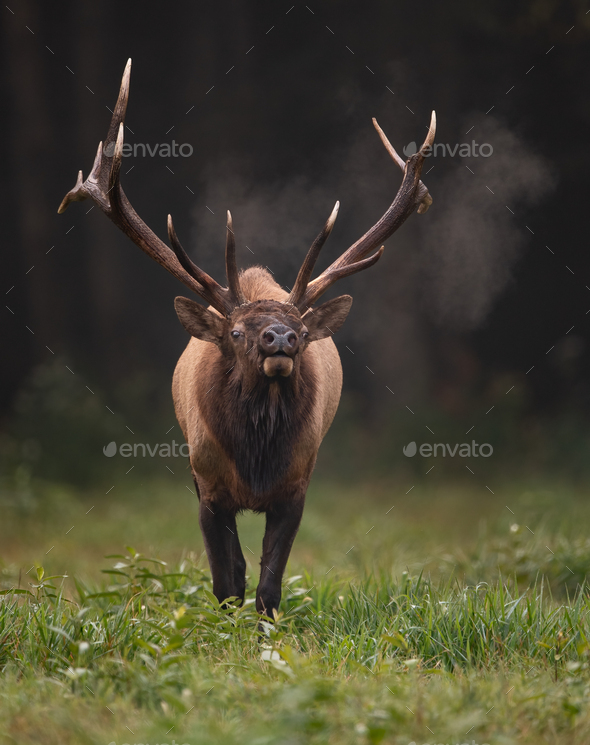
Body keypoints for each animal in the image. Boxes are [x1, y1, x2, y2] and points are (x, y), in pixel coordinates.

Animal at [59, 60, 435, 618]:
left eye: (302, 332)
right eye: (236, 331)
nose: (280, 338)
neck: (255, 460)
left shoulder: (297, 485)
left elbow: (269, 586)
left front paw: (264, 629)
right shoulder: (207, 483)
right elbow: (227, 580)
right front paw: (224, 629)